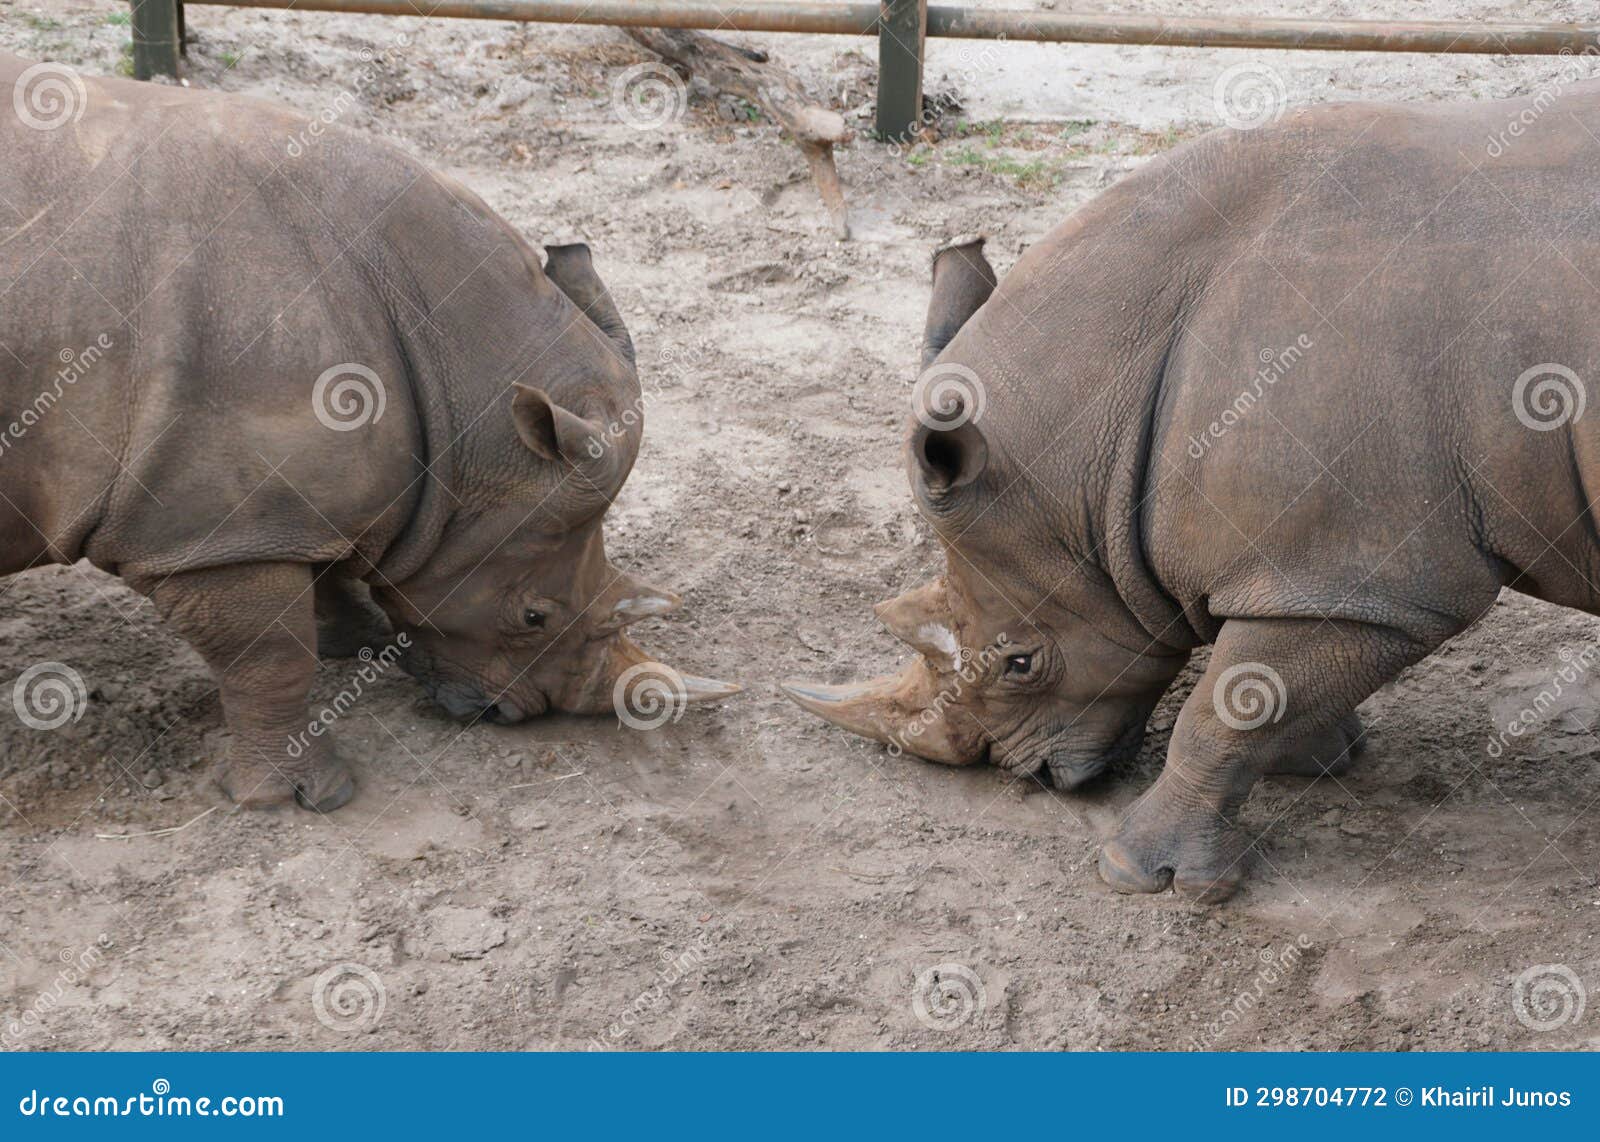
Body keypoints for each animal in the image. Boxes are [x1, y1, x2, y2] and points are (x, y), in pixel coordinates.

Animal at [0, 54, 735, 812]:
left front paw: (353, 640)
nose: (515, 715)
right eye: (533, 616)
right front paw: (304, 797)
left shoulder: (286, 505)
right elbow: (269, 658)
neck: (465, 408)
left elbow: (327, 566)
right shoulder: (206, 538)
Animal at [785, 86, 1600, 901]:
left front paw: (1149, 879)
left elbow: (1228, 708)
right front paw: (1317, 759)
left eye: (1020, 664)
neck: (1093, 441)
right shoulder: (1319, 580)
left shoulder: (1369, 582)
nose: (1029, 775)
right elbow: (1262, 690)